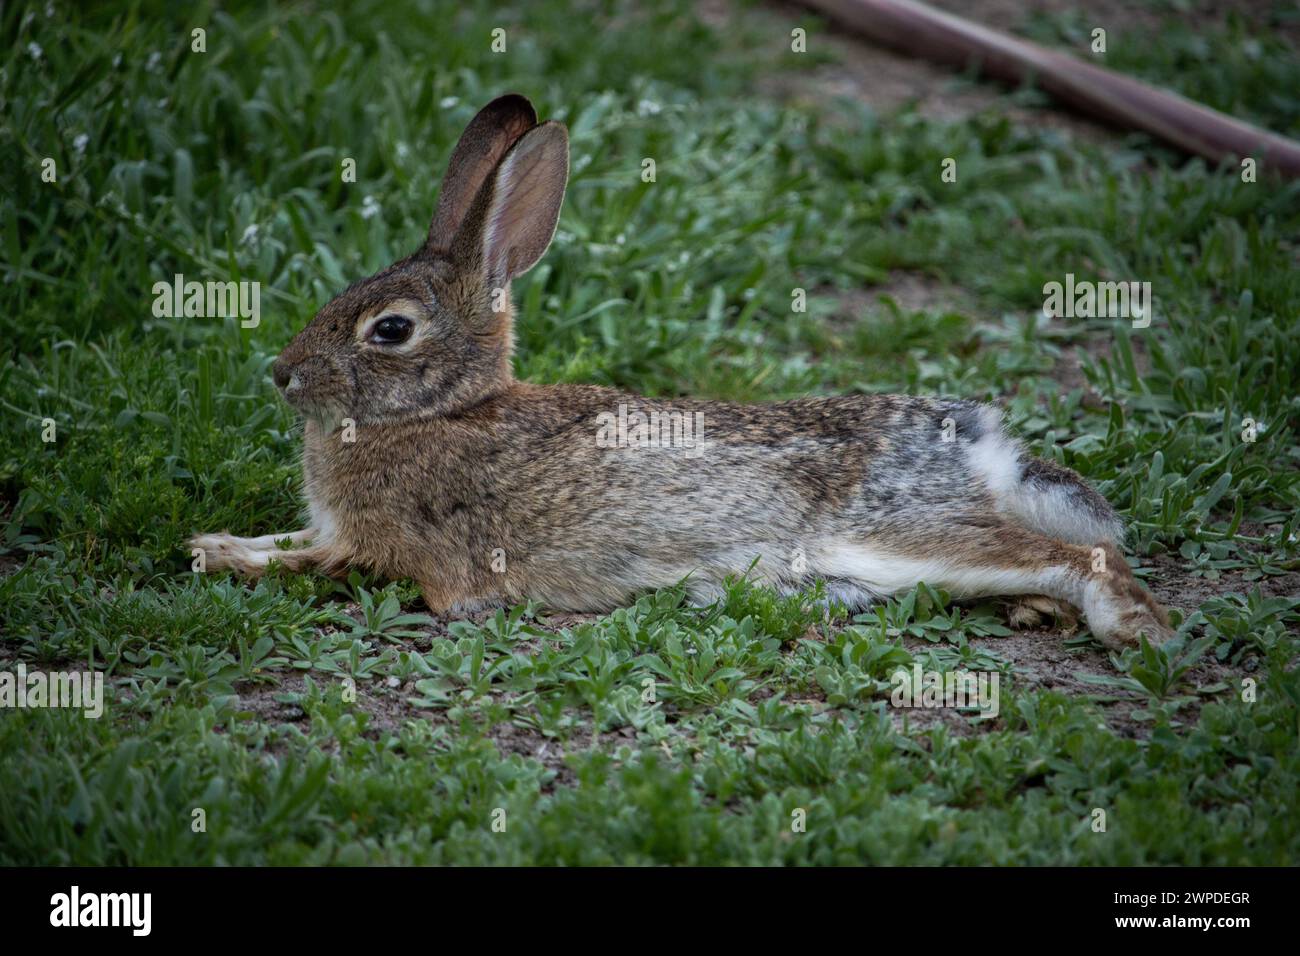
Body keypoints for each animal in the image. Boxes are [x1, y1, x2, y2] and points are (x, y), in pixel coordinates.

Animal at [189, 93, 1173, 652]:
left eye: (388, 330)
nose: (281, 375)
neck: (442, 412)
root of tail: (974, 444)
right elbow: (285, 539)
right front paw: (214, 542)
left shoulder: (391, 551)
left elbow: (307, 563)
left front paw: (219, 558)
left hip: (888, 531)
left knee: (1076, 553)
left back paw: (1134, 629)